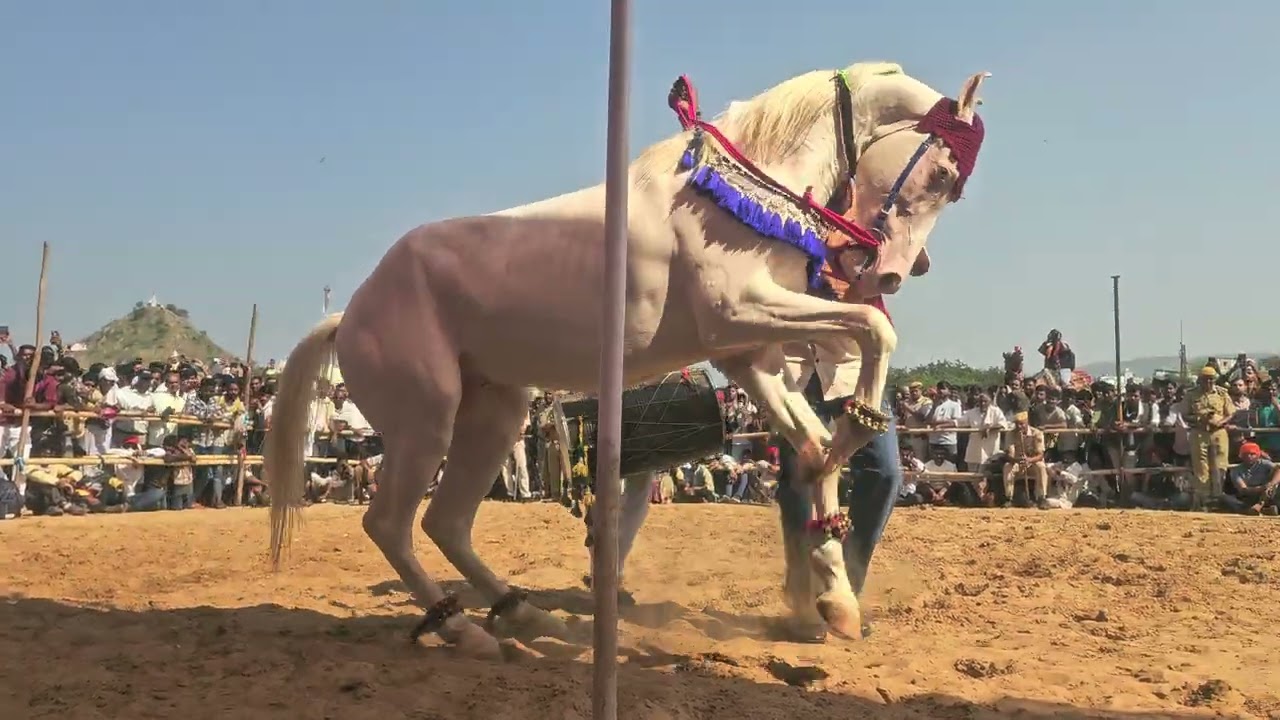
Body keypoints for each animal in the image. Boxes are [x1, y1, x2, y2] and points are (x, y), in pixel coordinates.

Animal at [264, 60, 990, 659]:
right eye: (943, 175)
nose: (892, 273)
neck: (738, 195)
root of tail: (349, 315)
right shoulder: (739, 312)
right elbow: (873, 331)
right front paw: (856, 428)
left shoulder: (747, 351)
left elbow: (812, 442)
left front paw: (836, 600)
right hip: (425, 421)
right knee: (389, 523)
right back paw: (465, 629)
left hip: (495, 414)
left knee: (445, 521)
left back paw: (523, 615)